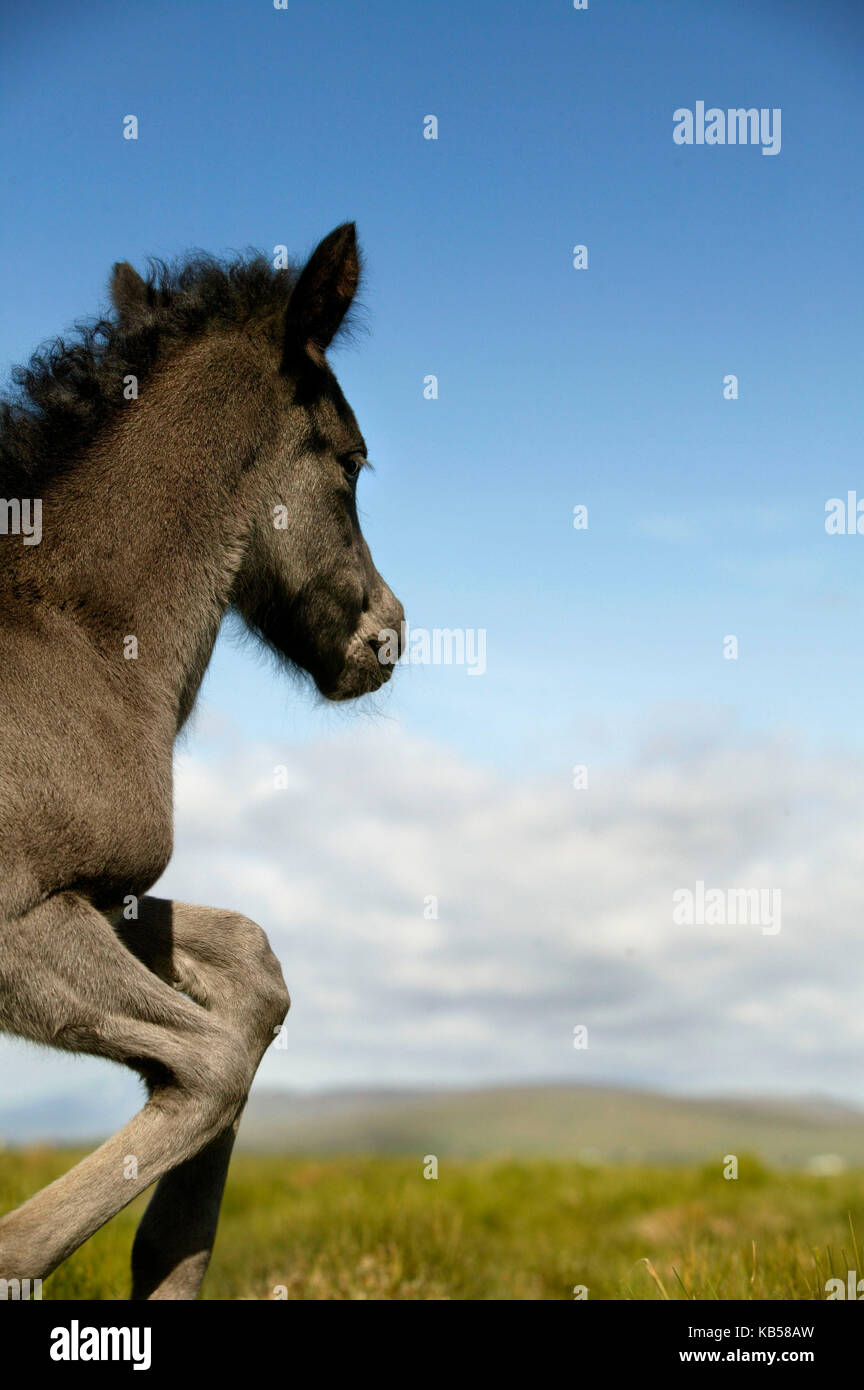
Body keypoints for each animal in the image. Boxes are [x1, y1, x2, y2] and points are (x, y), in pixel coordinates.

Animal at [0, 223, 403, 1298]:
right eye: (353, 462)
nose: (385, 634)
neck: (81, 638)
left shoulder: (100, 894)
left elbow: (252, 980)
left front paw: (170, 1266)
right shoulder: (19, 920)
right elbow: (214, 1062)